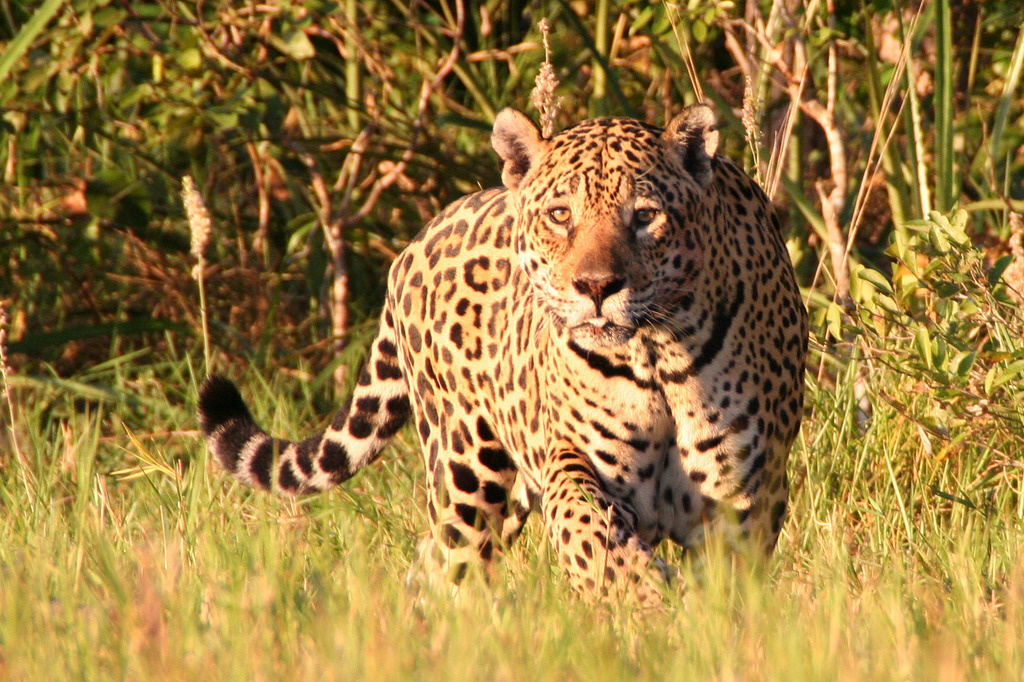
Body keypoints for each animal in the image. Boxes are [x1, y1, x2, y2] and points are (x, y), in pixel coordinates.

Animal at [199, 103, 808, 603]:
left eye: (644, 216)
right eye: (561, 215)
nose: (596, 286)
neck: (655, 354)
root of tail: (413, 243)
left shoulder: (744, 499)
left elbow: (732, 590)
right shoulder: (575, 459)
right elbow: (591, 531)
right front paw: (639, 594)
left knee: (429, 564)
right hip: (467, 470)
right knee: (455, 562)